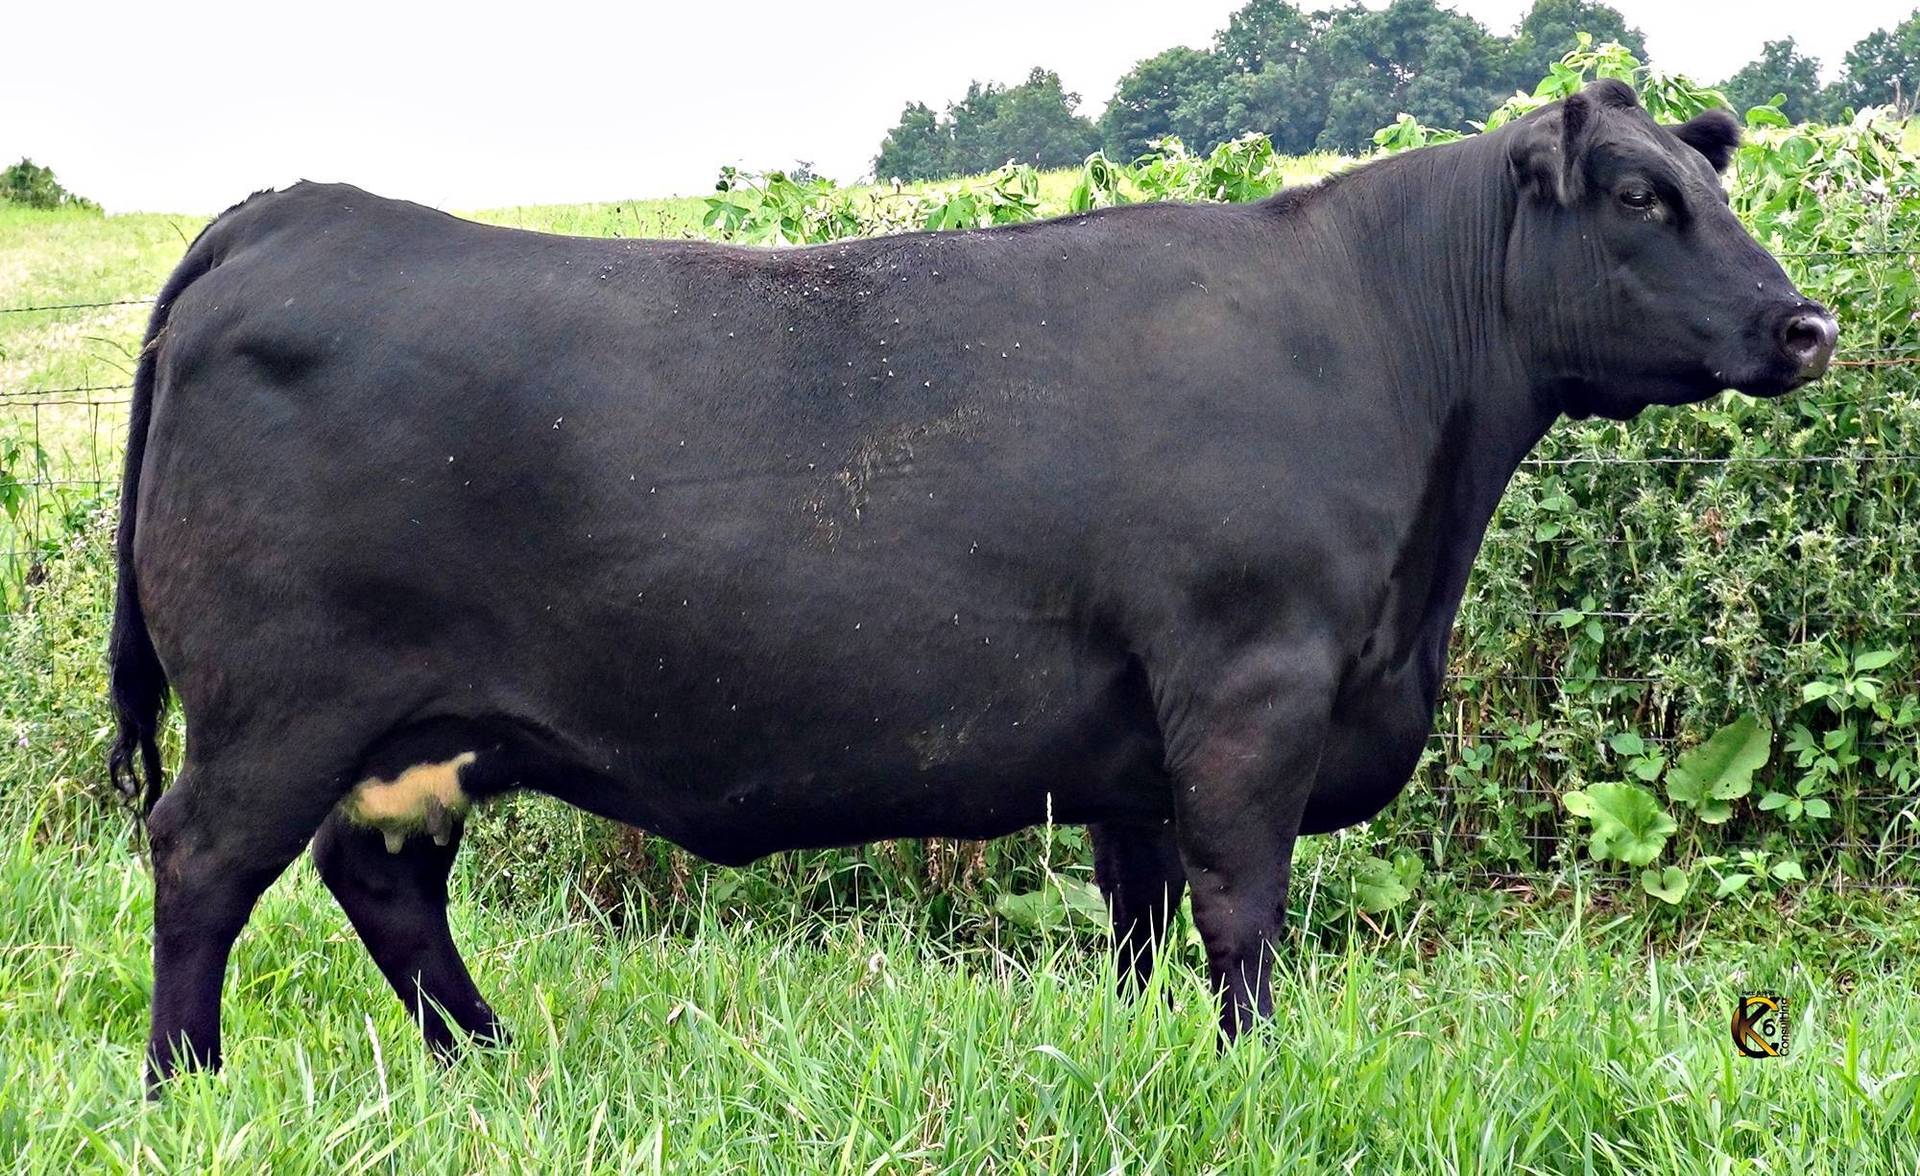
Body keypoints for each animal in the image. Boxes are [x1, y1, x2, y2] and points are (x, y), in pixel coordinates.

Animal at [110, 80, 1836, 1088]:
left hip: (411, 731)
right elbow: (1244, 907)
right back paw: (187, 1083)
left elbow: (1143, 920)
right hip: (278, 707)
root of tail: (295, 209)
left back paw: (488, 1060)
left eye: (1715, 184)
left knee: (384, 879)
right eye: (1640, 200)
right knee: (203, 862)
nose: (1809, 324)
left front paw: (1156, 1065)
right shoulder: (1248, 687)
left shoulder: (1140, 747)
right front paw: (1254, 1073)